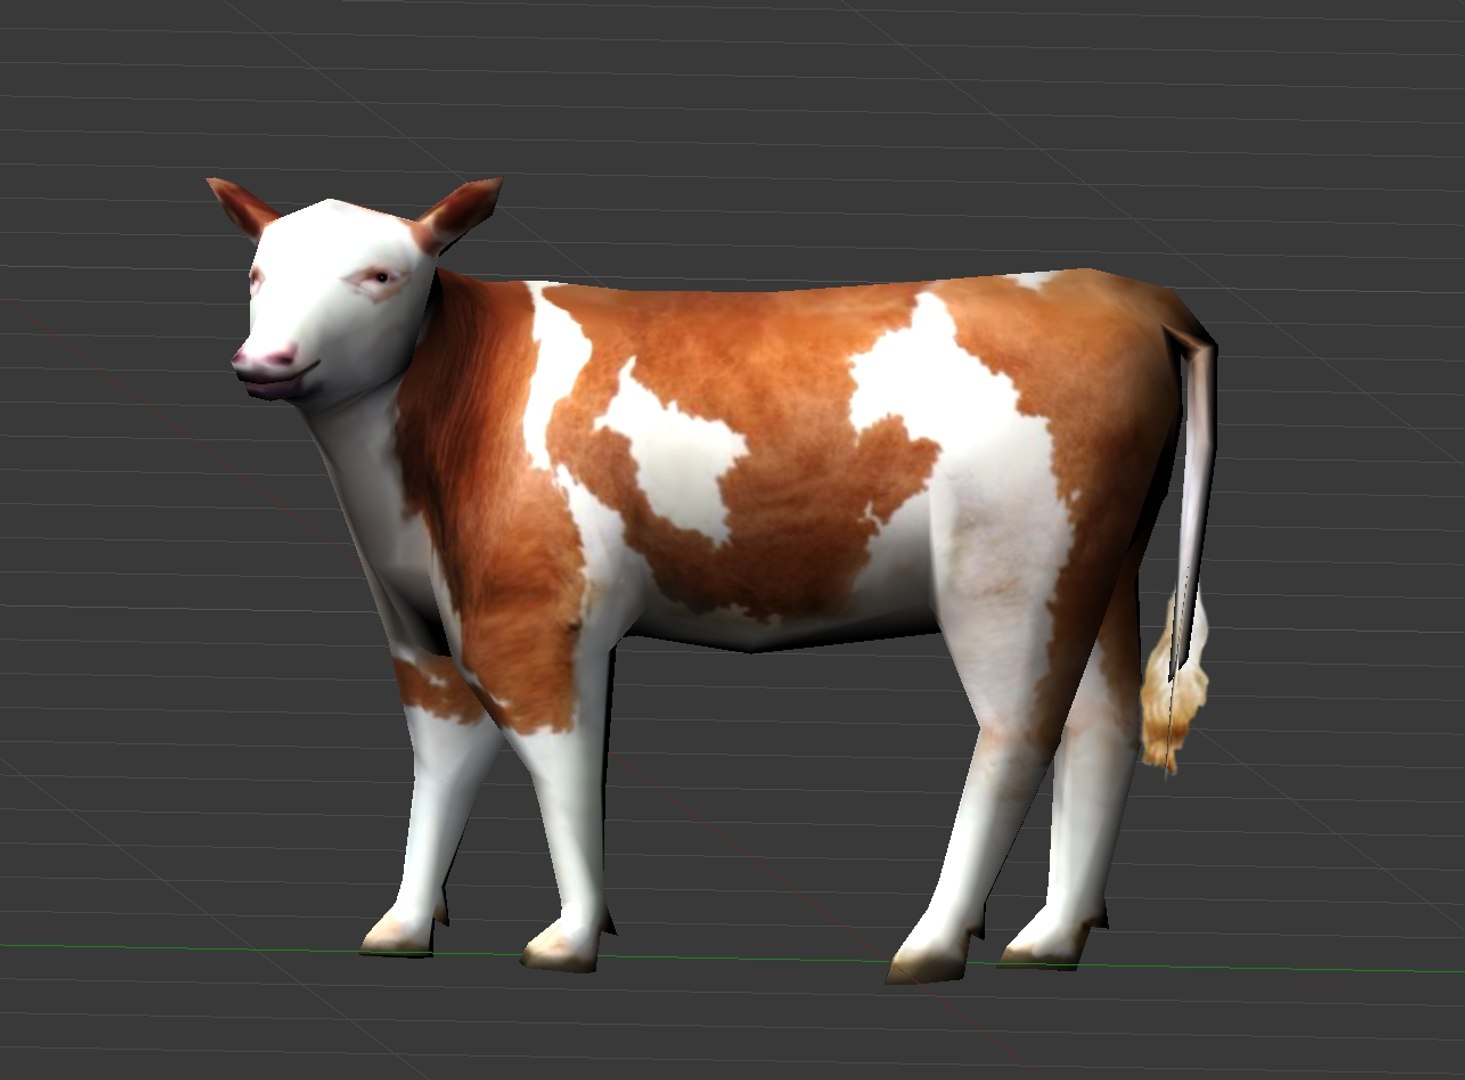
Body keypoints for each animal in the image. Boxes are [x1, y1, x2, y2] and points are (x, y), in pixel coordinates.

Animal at [205, 175, 1215, 982]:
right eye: (256, 275)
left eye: (379, 276)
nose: (263, 360)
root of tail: (1121, 290)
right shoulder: (420, 625)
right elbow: (441, 766)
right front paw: (405, 924)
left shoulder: (527, 617)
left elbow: (559, 771)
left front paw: (570, 937)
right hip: (1096, 568)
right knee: (1100, 723)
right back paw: (1051, 936)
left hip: (1005, 571)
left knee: (1017, 736)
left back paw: (934, 943)